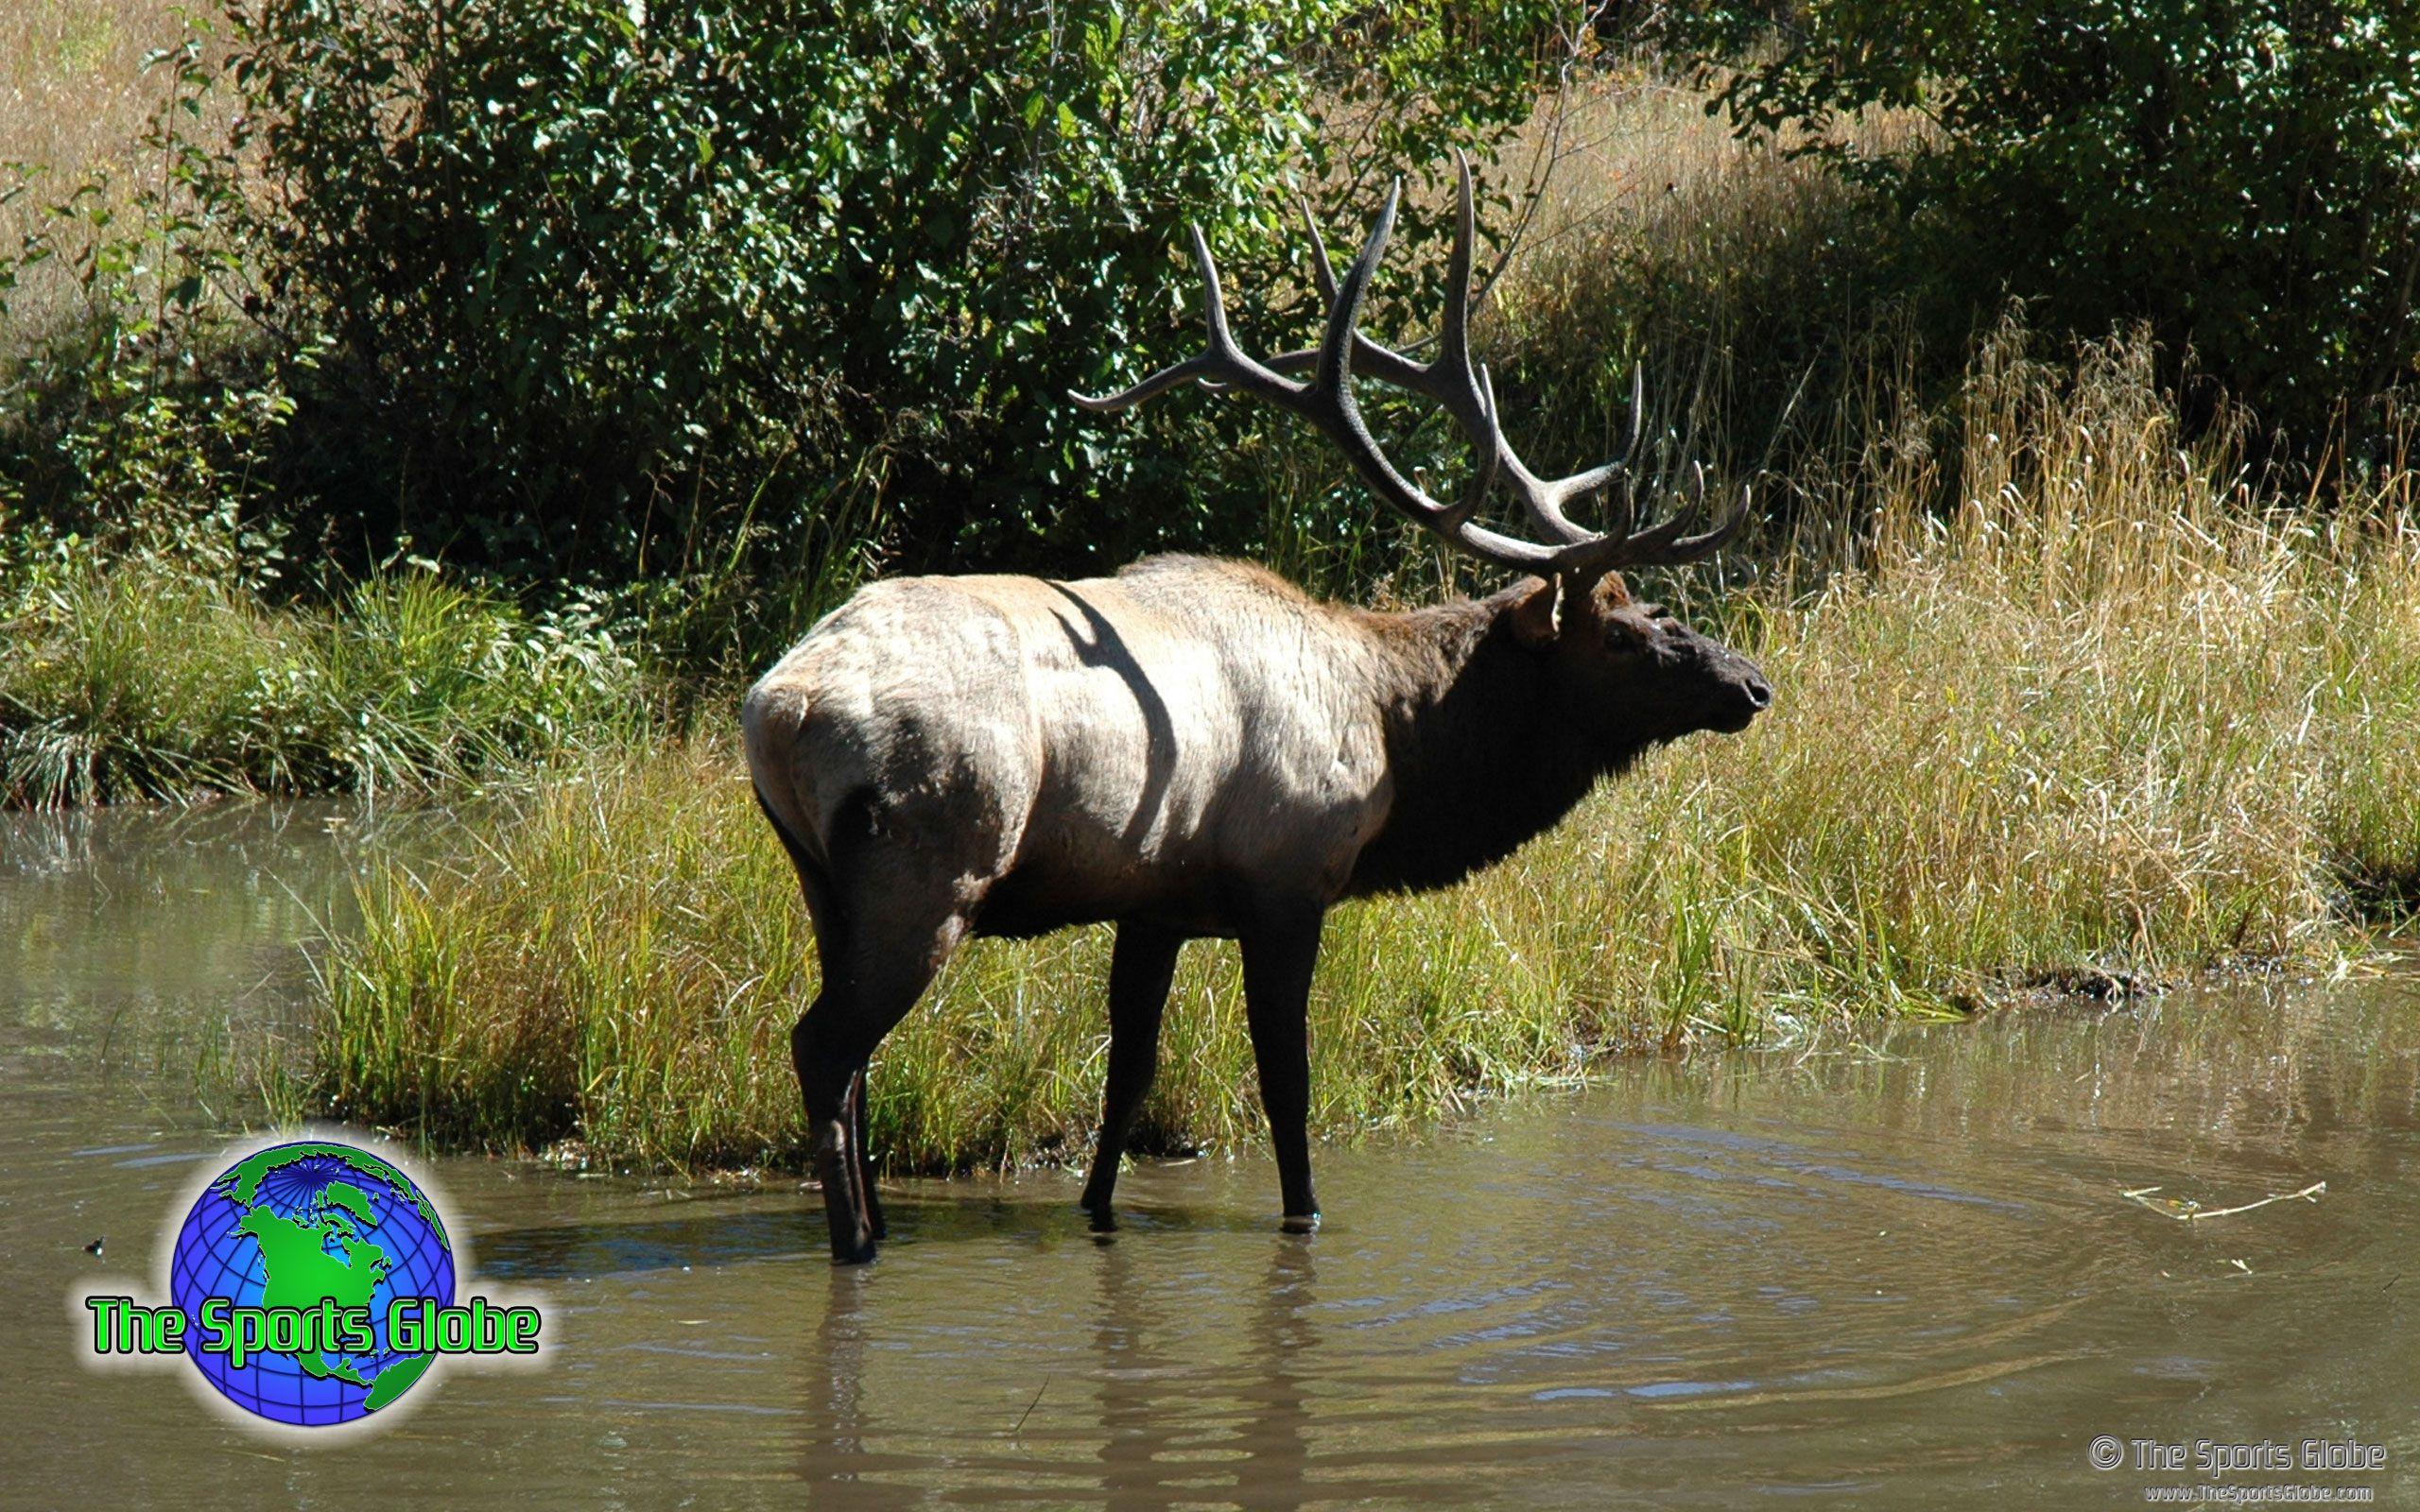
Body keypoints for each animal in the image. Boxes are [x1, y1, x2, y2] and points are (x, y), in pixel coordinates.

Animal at [742, 156, 1772, 1264]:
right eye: (1620, 633)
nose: (1751, 684)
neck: (1396, 738)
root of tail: (778, 709)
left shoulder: (1152, 905)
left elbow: (1128, 1080)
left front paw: (1100, 1215)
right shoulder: (1288, 879)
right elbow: (1287, 1083)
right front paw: (1304, 1215)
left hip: (822, 883)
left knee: (852, 1059)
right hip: (931, 860)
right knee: (825, 1045)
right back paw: (857, 1243)